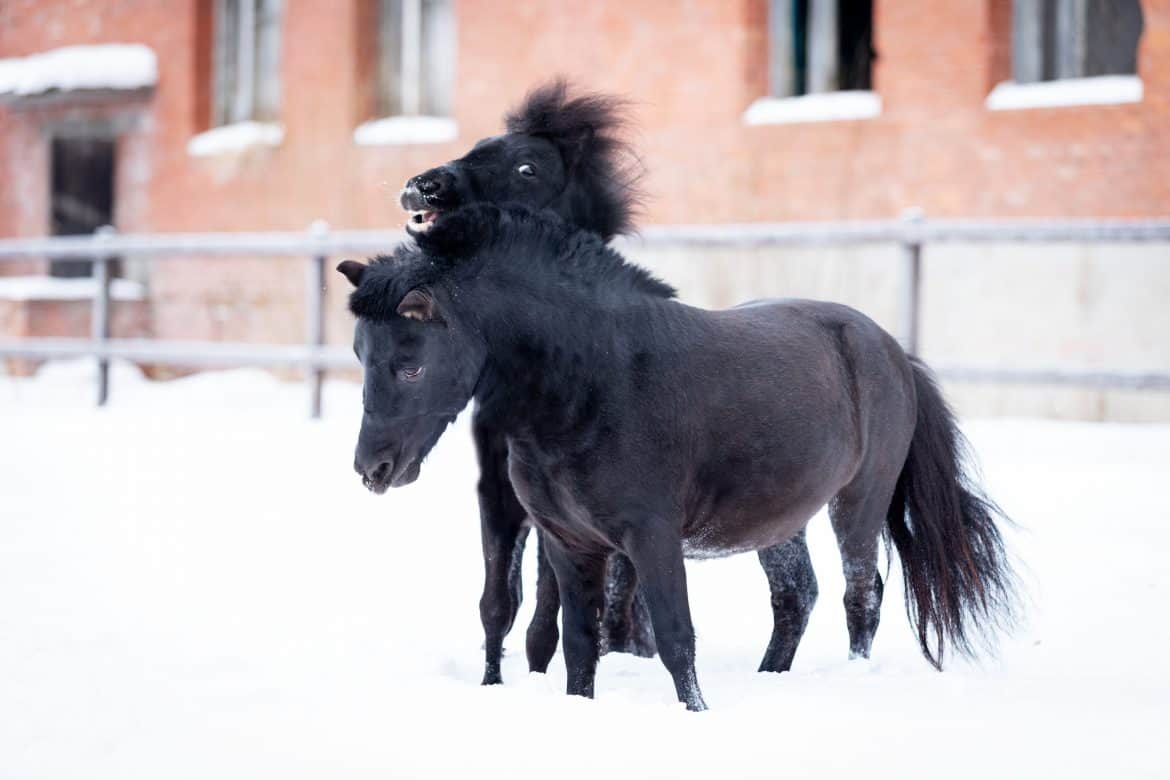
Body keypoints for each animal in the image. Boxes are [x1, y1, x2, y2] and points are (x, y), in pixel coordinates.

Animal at [339, 204, 1019, 711]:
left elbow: (674, 637)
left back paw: (852, 676)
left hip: (860, 502)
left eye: (410, 364)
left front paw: (697, 713)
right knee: (796, 597)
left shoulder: (652, 537)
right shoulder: (568, 542)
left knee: (863, 595)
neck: (593, 381)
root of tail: (891, 349)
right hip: (780, 519)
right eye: (359, 355)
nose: (372, 469)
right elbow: (578, 641)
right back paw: (769, 679)